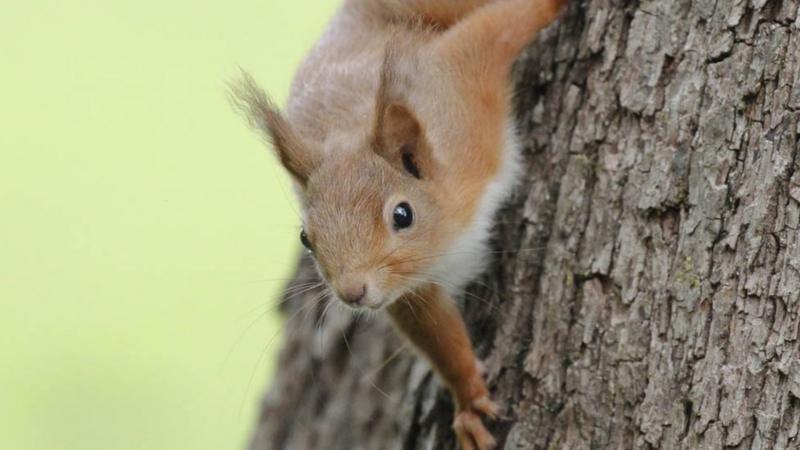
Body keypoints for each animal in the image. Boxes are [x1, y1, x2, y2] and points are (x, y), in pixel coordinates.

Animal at [233, 1, 566, 448]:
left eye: (402, 214)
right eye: (306, 238)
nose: (352, 293)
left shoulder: (462, 87)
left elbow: (501, 27)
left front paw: (554, 6)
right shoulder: (410, 287)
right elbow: (437, 335)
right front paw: (468, 400)